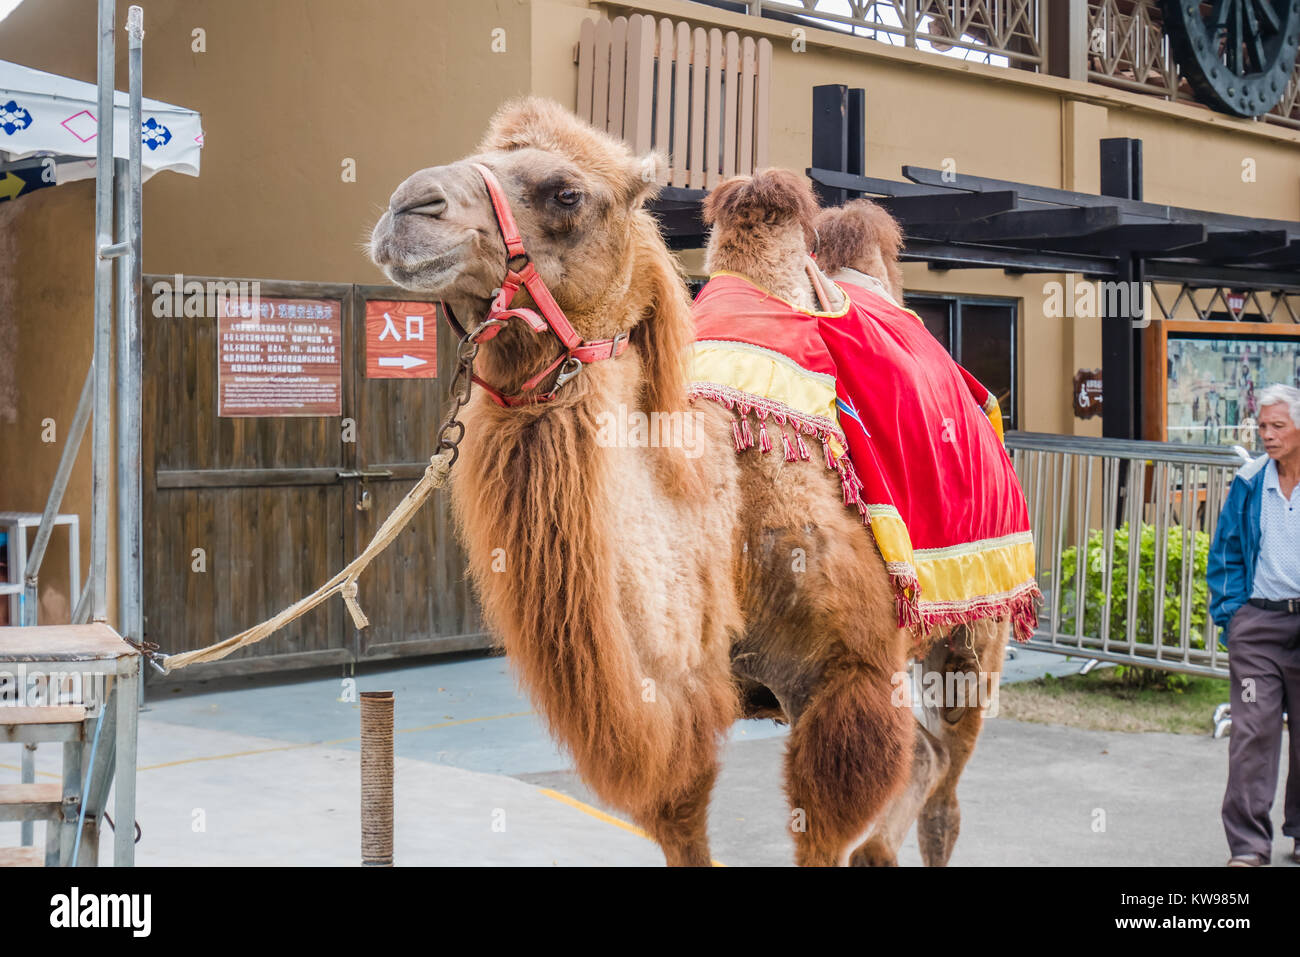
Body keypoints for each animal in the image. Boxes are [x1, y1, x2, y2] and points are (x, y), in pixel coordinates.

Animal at [369, 97, 986, 866]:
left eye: (567, 193)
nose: (405, 208)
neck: (730, 525)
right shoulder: (682, 707)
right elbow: (683, 814)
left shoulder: (849, 685)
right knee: (923, 771)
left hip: (969, 637)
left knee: (945, 787)